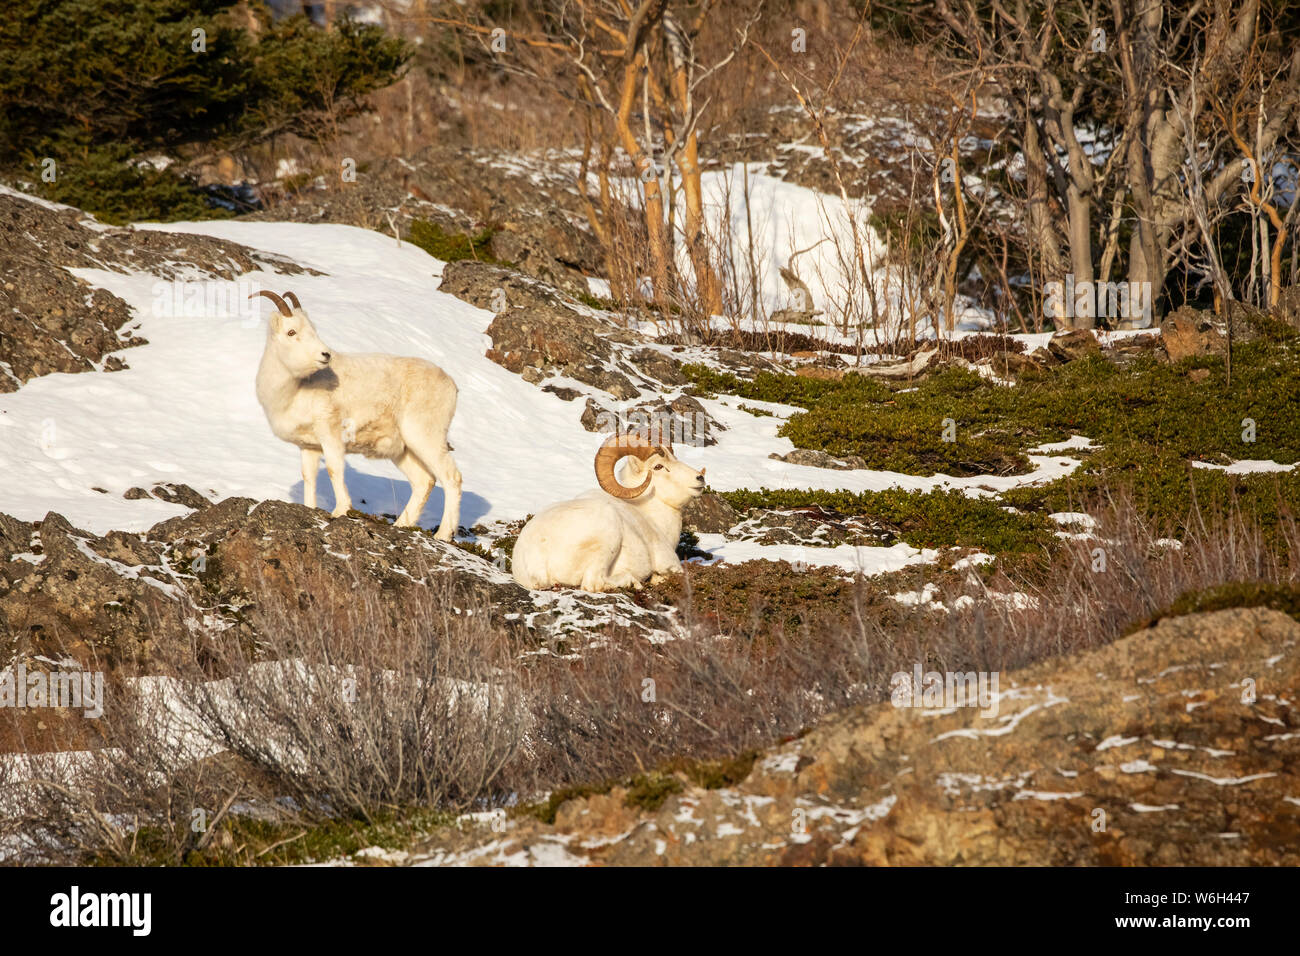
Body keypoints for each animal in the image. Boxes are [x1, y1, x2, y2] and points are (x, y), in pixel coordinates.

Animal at [251, 290, 462, 541]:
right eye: (291, 332)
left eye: (312, 329)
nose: (325, 355)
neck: (294, 391)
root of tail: (452, 386)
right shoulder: (308, 447)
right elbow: (309, 477)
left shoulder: (330, 436)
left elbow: (334, 469)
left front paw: (341, 510)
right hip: (403, 451)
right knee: (424, 482)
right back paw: (401, 526)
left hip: (425, 438)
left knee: (451, 478)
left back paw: (443, 535)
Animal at [511, 428, 705, 592]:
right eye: (658, 466)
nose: (700, 478)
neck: (651, 517)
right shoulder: (670, 564)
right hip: (608, 538)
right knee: (593, 584)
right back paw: (633, 582)